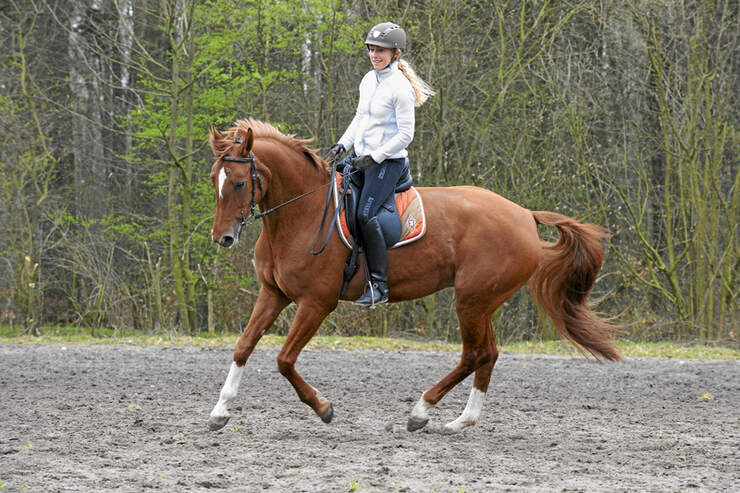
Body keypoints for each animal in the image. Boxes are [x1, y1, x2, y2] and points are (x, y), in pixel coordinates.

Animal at [206, 118, 620, 434]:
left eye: (239, 182)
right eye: (215, 180)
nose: (222, 237)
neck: (302, 215)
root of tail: (524, 215)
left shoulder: (316, 303)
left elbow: (284, 360)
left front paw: (323, 408)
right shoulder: (273, 293)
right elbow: (243, 346)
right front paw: (220, 411)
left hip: (471, 300)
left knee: (474, 354)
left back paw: (421, 410)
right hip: (482, 302)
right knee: (488, 354)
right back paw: (461, 421)